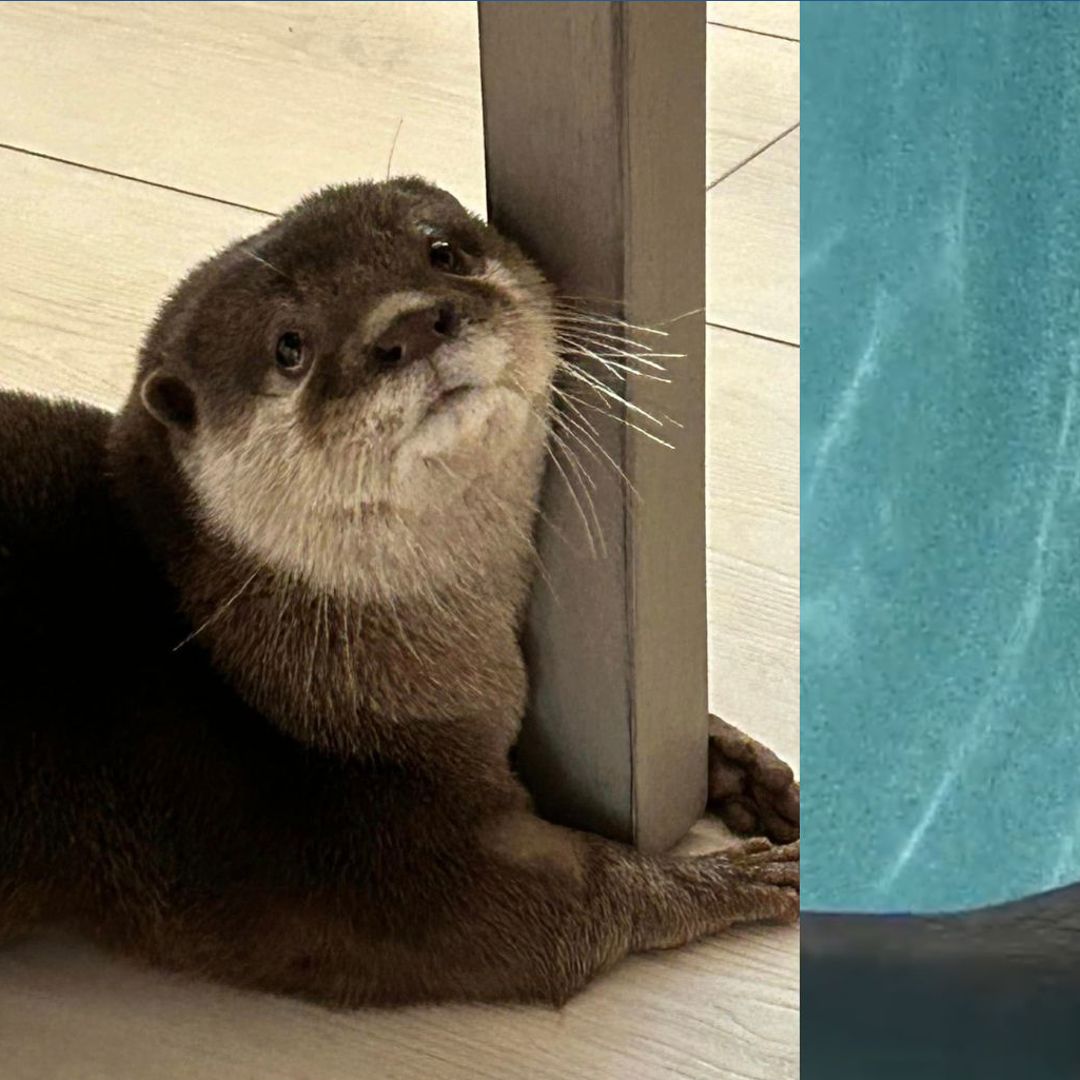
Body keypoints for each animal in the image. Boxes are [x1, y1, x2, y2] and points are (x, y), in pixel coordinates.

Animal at [0, 177, 797, 1006]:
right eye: (288, 346)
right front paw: (719, 878)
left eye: (442, 251)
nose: (410, 324)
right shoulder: (328, 867)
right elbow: (542, 917)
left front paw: (733, 762)